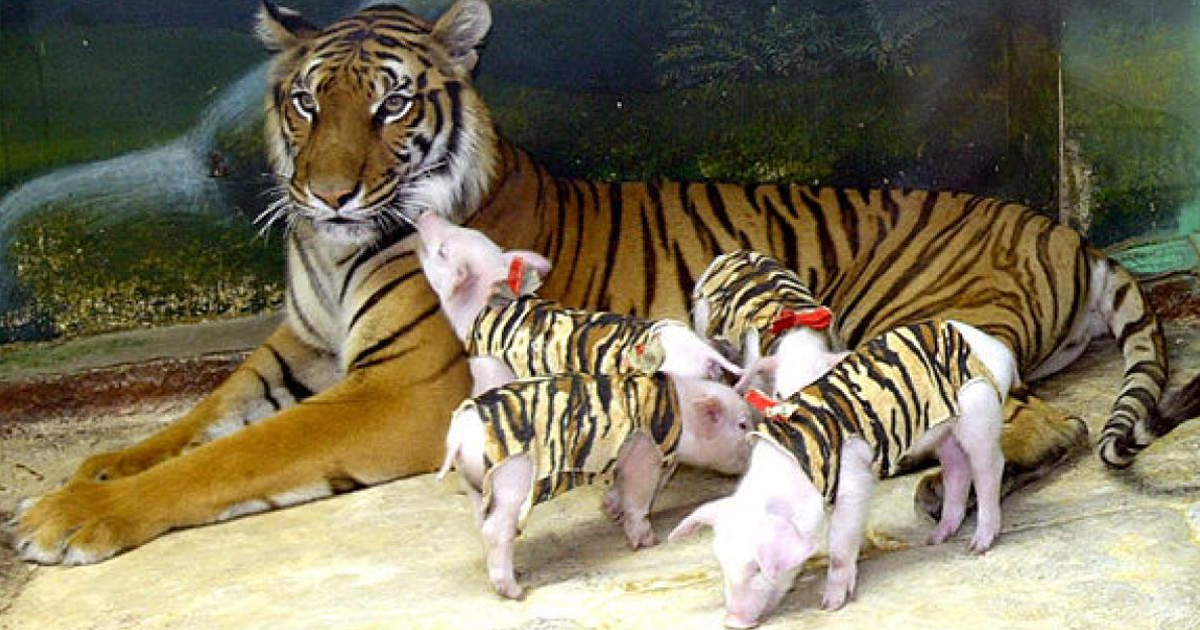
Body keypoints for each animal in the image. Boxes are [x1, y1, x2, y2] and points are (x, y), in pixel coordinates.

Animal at [12, 0, 1200, 565]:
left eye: (390, 104)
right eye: (309, 102)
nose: (328, 192)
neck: (330, 253)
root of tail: (1062, 228)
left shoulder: (397, 393)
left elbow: (233, 459)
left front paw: (73, 518)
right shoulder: (293, 353)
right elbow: (188, 424)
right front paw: (85, 474)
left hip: (895, 323)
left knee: (1027, 418)